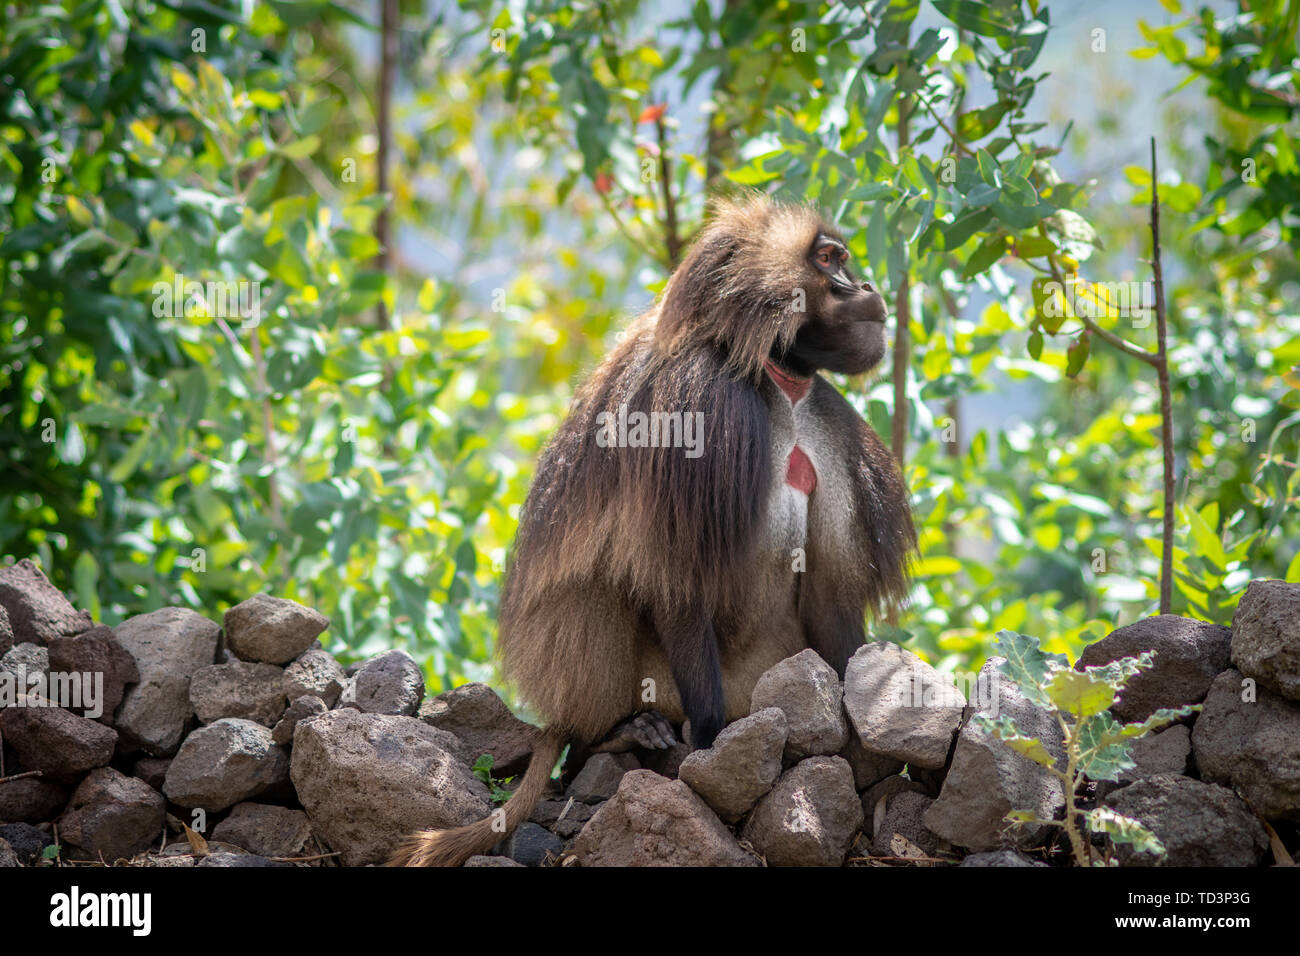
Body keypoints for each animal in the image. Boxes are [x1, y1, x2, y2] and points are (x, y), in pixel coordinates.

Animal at [390, 195, 920, 868]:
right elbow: (676, 582)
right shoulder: (700, 406)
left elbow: (829, 597)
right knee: (600, 591)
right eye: (829, 260)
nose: (869, 288)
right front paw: (711, 755)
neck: (772, 376)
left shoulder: (829, 428)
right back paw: (616, 738)